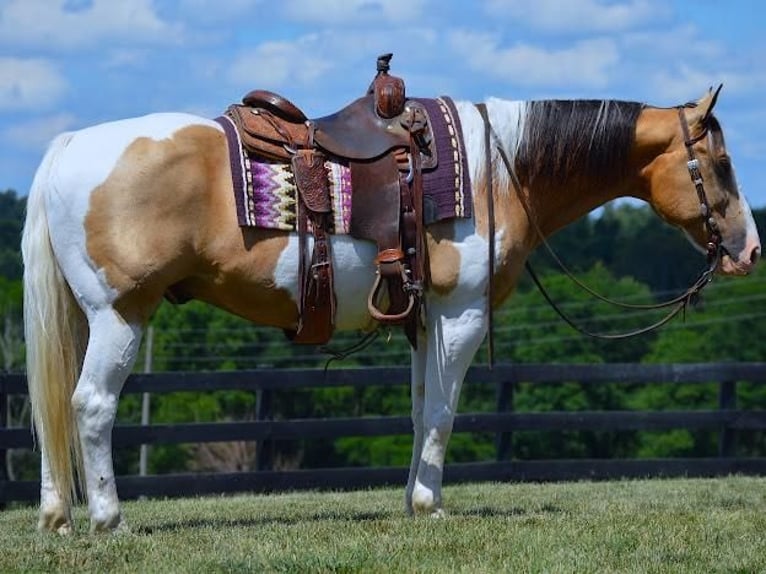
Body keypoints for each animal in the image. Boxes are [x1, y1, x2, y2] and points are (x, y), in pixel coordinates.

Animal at [21, 85, 760, 533]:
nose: (749, 250)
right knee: (90, 405)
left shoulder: (422, 321)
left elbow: (418, 410)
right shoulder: (460, 317)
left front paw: (412, 498)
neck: (500, 170)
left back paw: (59, 514)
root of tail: (67, 146)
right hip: (120, 314)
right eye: (721, 164)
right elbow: (442, 412)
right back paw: (109, 518)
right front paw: (431, 505)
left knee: (53, 406)